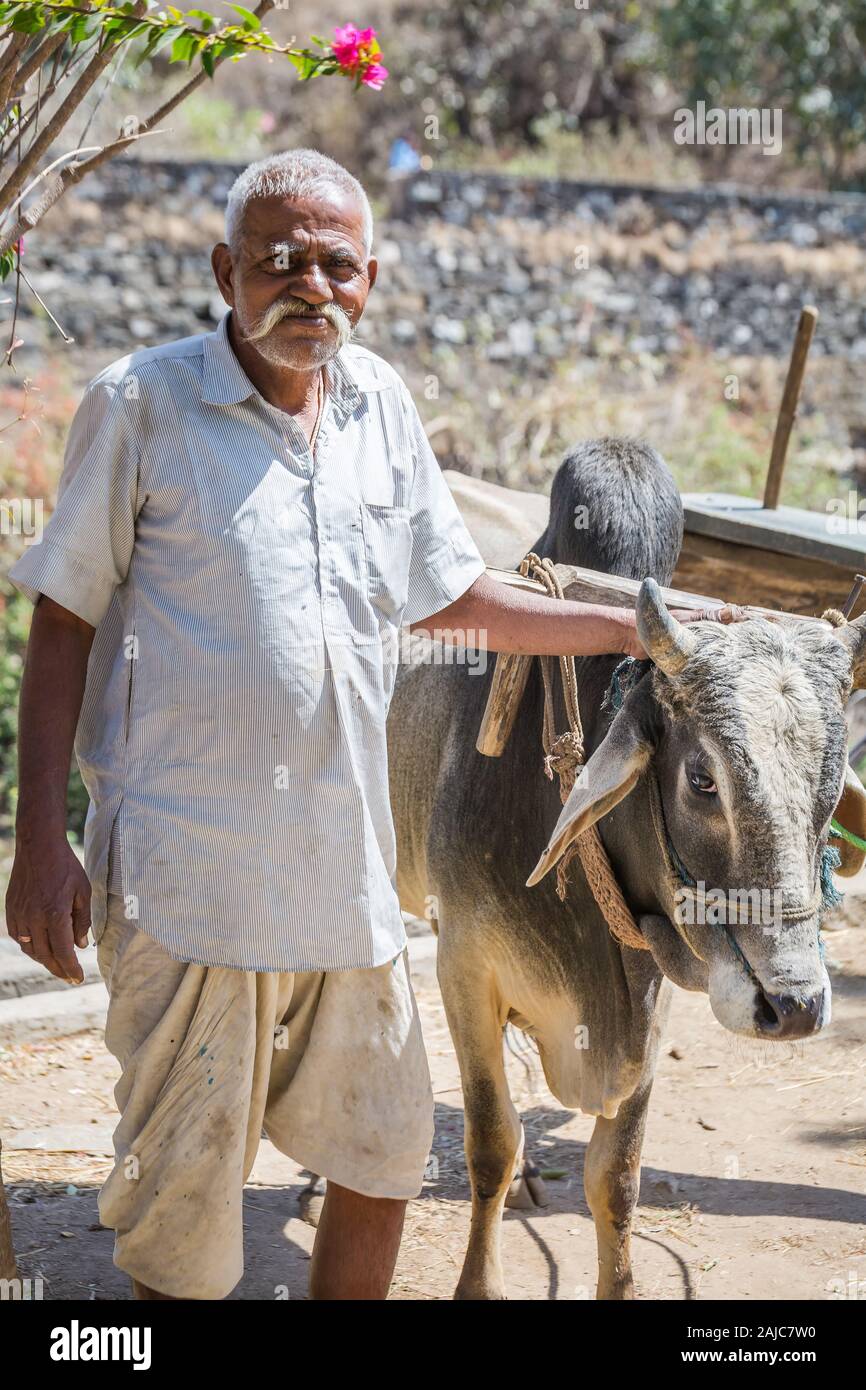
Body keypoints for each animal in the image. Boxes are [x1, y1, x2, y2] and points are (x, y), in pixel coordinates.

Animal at [387, 437, 866, 1300]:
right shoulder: (464, 970)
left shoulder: (659, 995)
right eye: (702, 778)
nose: (796, 1007)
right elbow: (491, 1143)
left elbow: (617, 1178)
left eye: (830, 777)